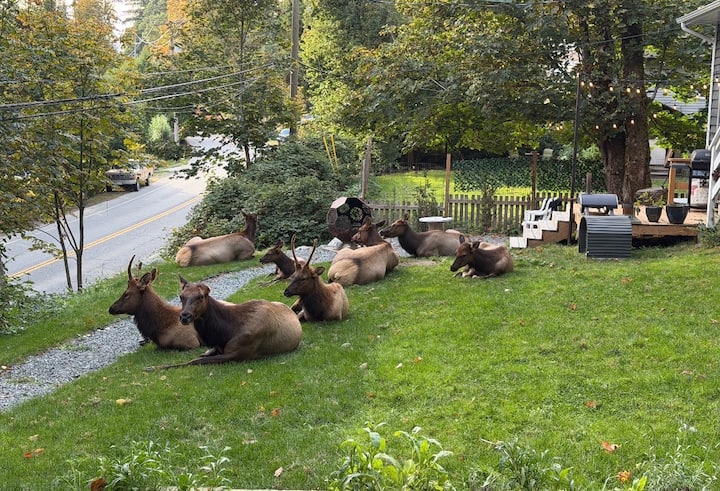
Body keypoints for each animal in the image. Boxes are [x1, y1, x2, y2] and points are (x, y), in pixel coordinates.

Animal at [149, 275, 303, 369]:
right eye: (181, 296)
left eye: (201, 296)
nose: (184, 316)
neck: (225, 333)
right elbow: (202, 355)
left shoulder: (238, 352)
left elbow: (197, 360)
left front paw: (152, 367)